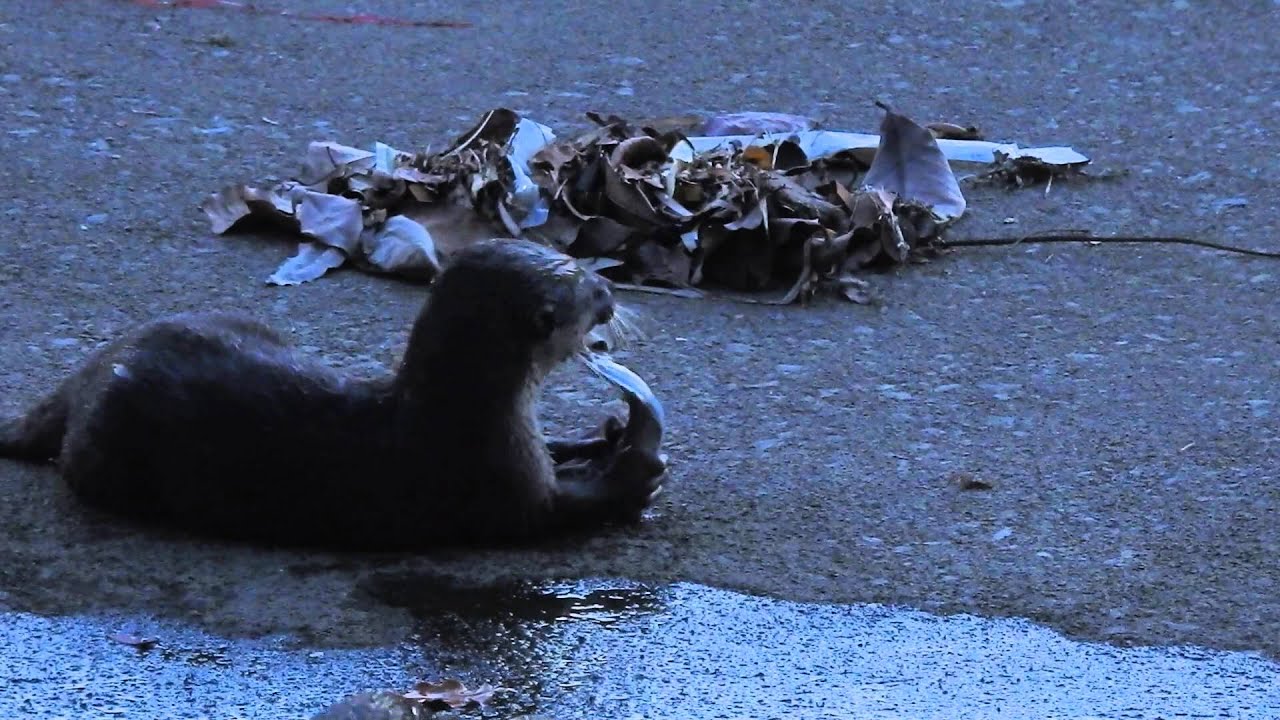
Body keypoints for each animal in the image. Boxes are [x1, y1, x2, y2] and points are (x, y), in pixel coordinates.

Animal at [0, 238, 668, 550]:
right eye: (587, 289)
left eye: (582, 265)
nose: (612, 292)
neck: (461, 415)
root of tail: (97, 367)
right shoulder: (498, 482)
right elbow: (558, 510)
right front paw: (632, 473)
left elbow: (558, 452)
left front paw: (599, 437)